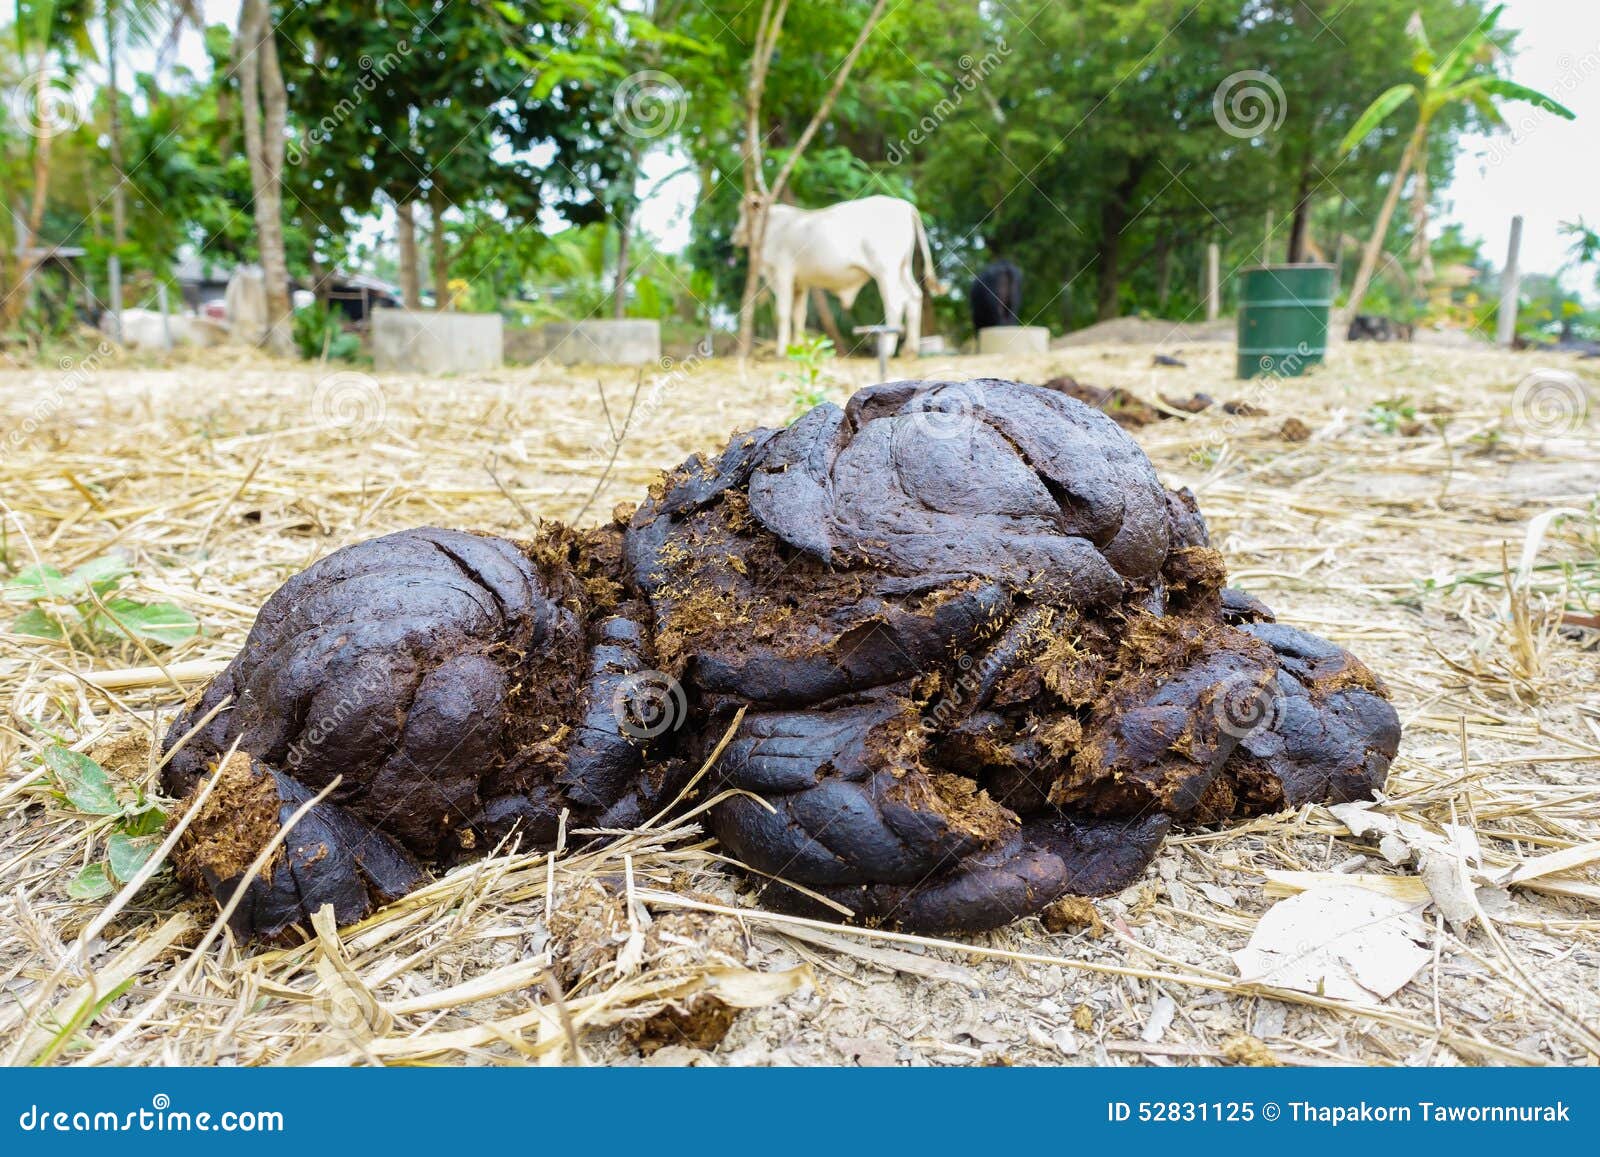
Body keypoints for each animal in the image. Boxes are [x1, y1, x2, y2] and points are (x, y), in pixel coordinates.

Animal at [734, 194, 944, 357]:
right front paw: (798, 347)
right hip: (902, 268)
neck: (769, 226)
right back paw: (910, 350)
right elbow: (799, 314)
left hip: (886, 270)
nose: (735, 236)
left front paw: (781, 351)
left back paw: (888, 348)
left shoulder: (782, 272)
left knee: (895, 301)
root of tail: (905, 205)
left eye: (744, 211)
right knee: (914, 296)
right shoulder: (801, 283)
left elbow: (783, 313)